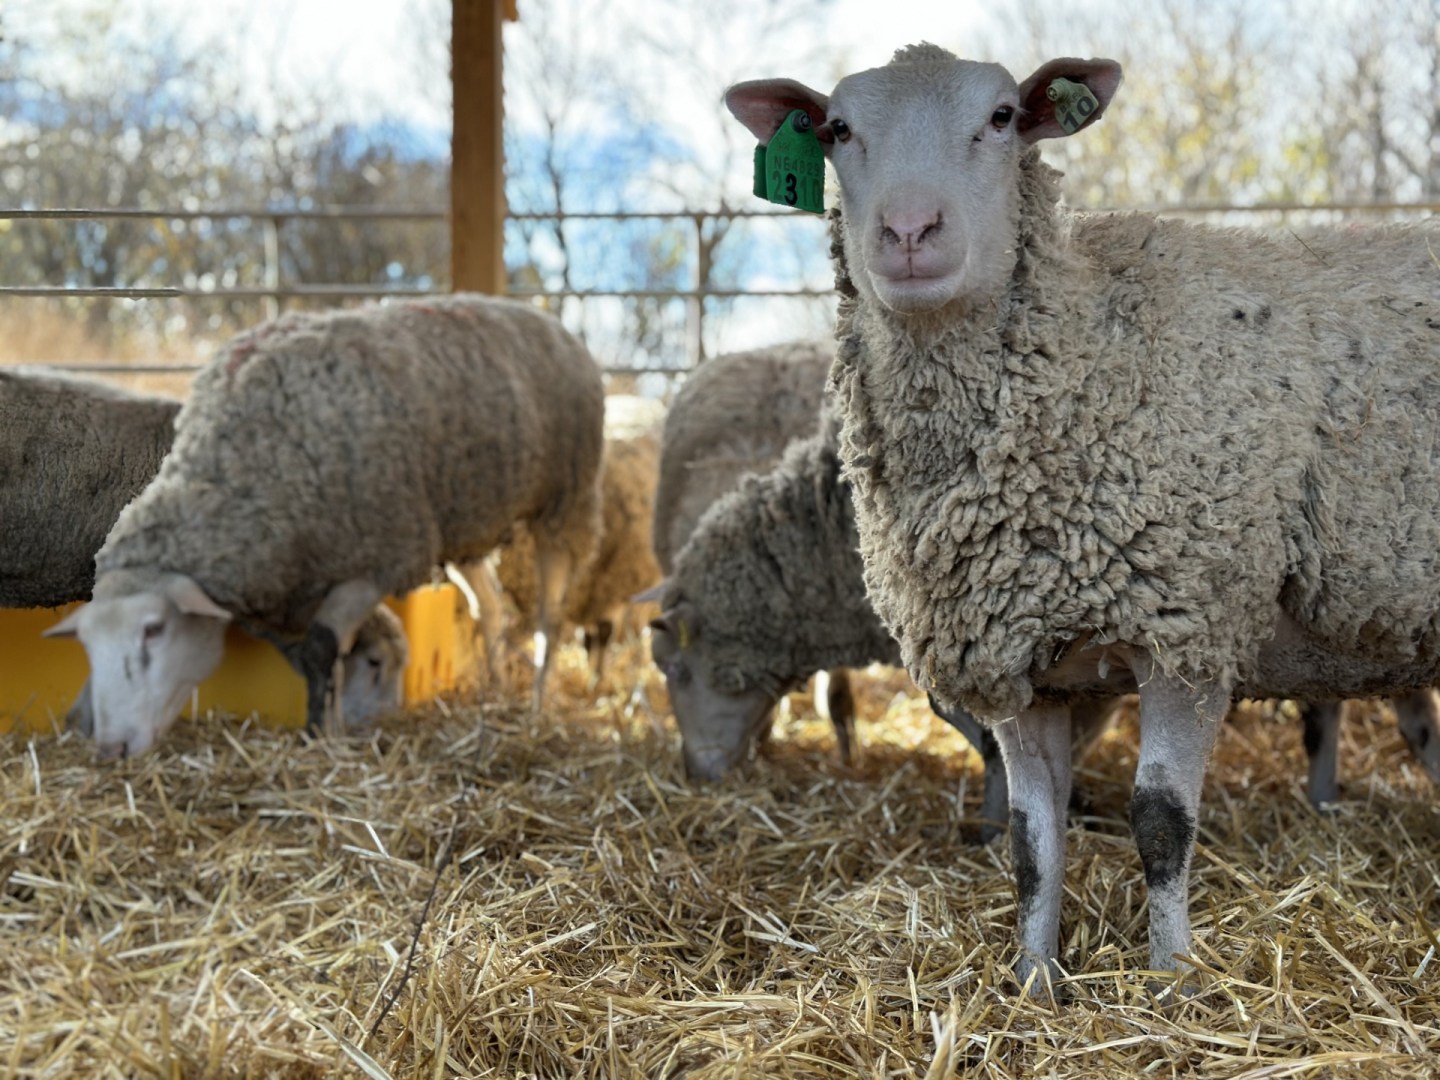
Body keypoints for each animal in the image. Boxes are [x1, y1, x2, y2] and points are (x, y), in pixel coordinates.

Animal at [45, 294, 604, 758]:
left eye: (154, 630)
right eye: (86, 644)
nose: (111, 749)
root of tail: (543, 317)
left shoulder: (377, 560)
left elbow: (323, 650)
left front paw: (321, 735)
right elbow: (318, 656)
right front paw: (329, 721)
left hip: (566, 503)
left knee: (550, 619)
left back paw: (535, 703)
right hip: (466, 522)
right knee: (491, 606)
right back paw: (494, 688)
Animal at [727, 44, 1440, 991]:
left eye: (1001, 118)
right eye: (837, 130)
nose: (910, 233)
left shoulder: (1189, 627)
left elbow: (1160, 821)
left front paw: (1172, 980)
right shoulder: (1015, 653)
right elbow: (1035, 839)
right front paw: (1033, 978)